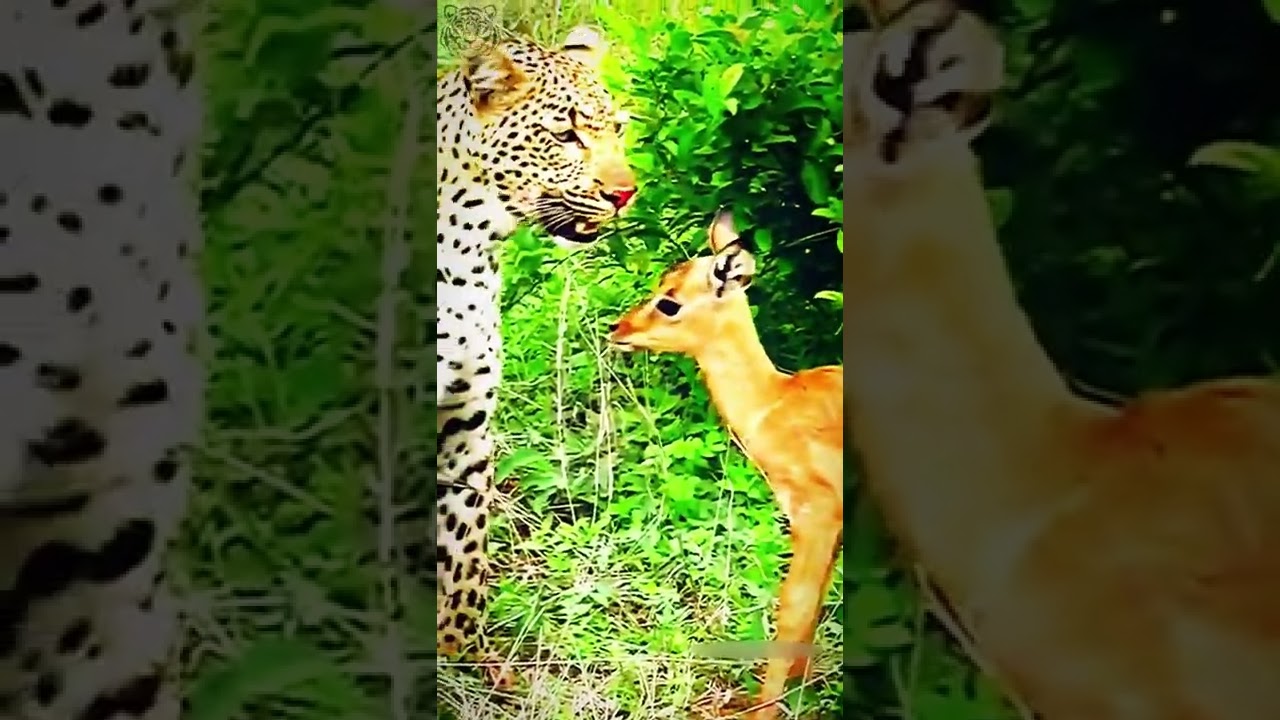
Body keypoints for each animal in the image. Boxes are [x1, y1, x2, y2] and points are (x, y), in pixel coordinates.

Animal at [434, 24, 637, 687]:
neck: (471, 252)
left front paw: (461, 656)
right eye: (564, 134)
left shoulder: (466, 427)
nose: (625, 193)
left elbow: (464, 549)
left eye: (615, 128)